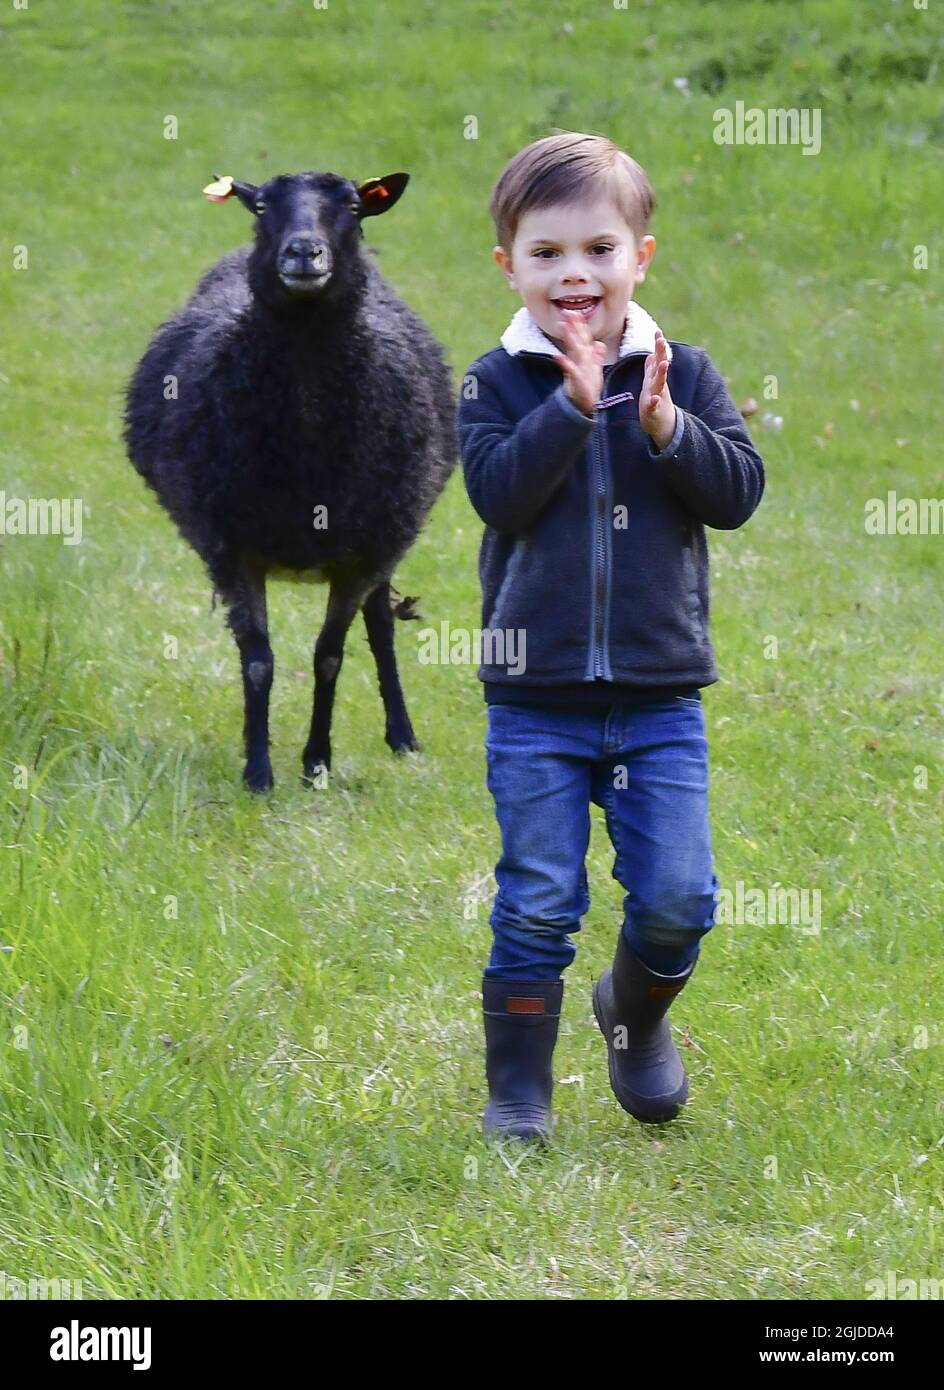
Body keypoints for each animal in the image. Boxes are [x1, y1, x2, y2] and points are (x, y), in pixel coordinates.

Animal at [123, 169, 457, 792]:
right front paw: (258, 772)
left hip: (388, 534)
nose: (303, 251)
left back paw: (403, 737)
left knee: (380, 627)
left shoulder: (360, 555)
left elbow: (329, 656)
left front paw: (316, 764)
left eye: (353, 206)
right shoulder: (232, 548)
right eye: (261, 208)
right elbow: (258, 660)